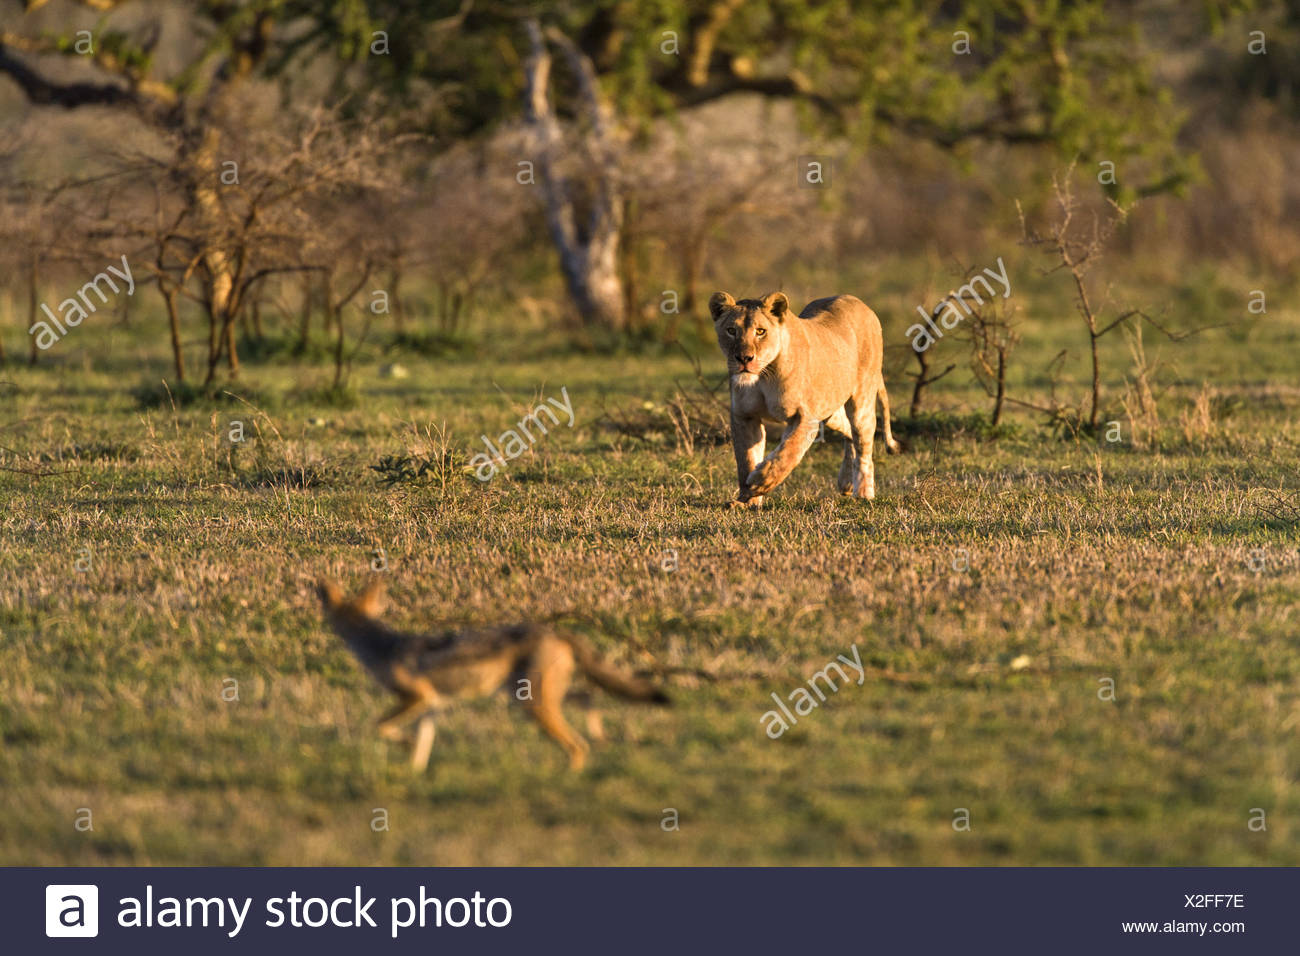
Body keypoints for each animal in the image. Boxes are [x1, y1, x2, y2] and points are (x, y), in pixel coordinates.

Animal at [710, 291, 900, 508]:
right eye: (731, 330)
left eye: (760, 331)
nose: (744, 359)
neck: (763, 376)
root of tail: (858, 301)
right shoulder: (744, 416)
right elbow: (746, 459)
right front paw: (745, 501)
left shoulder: (805, 418)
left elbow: (787, 454)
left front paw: (759, 481)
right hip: (829, 410)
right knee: (848, 431)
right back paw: (846, 482)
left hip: (861, 401)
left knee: (864, 447)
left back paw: (863, 493)